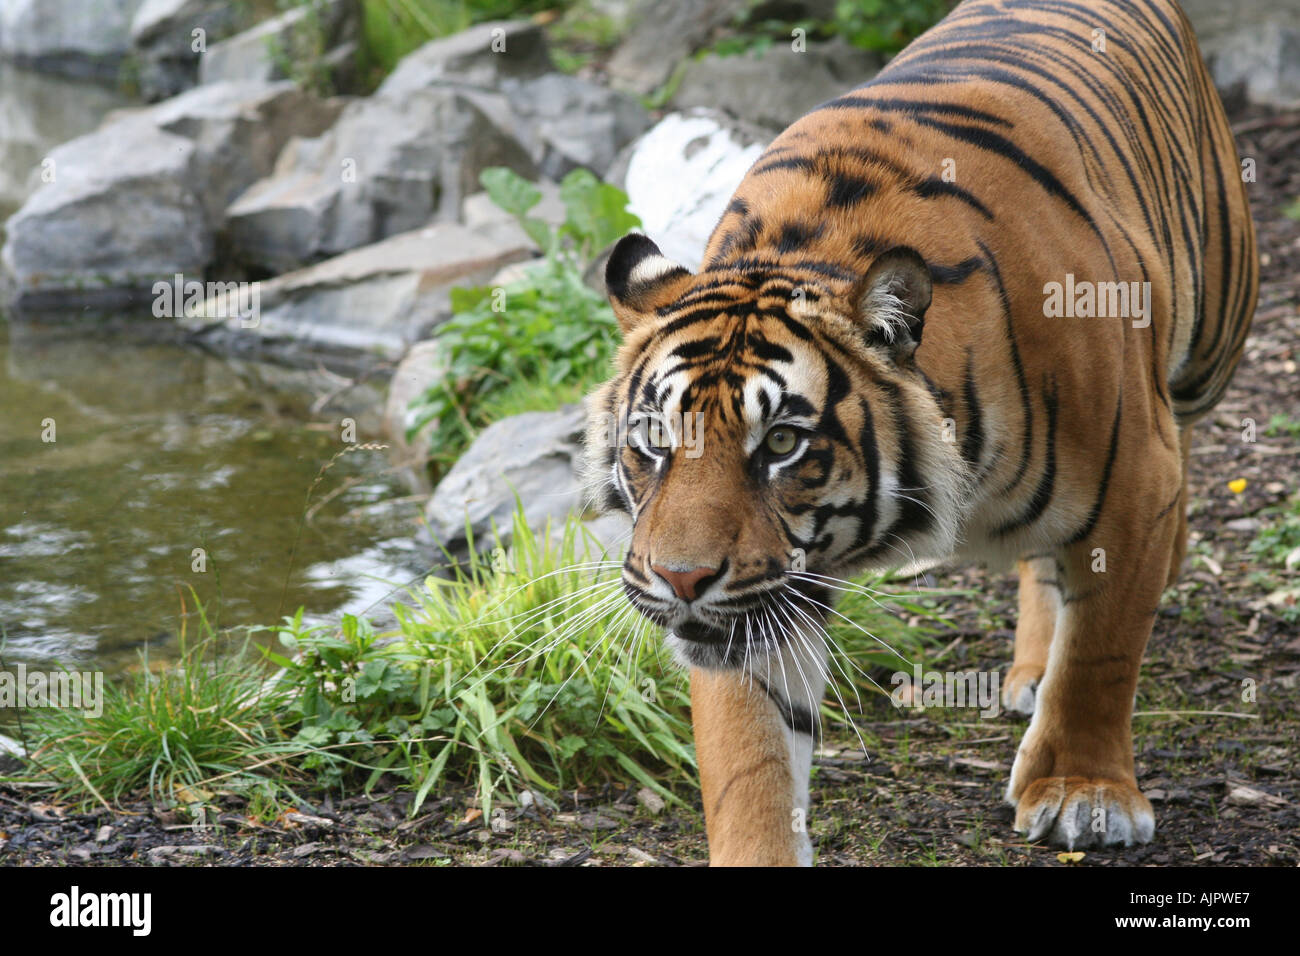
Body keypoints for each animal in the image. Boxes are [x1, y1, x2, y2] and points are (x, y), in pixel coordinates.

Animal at [582, 0, 1257, 866]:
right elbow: (749, 757)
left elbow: (1101, 655)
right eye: (654, 441)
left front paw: (1084, 792)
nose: (681, 579)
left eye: (781, 444)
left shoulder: (1136, 482)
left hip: (1211, 343)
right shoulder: (765, 599)